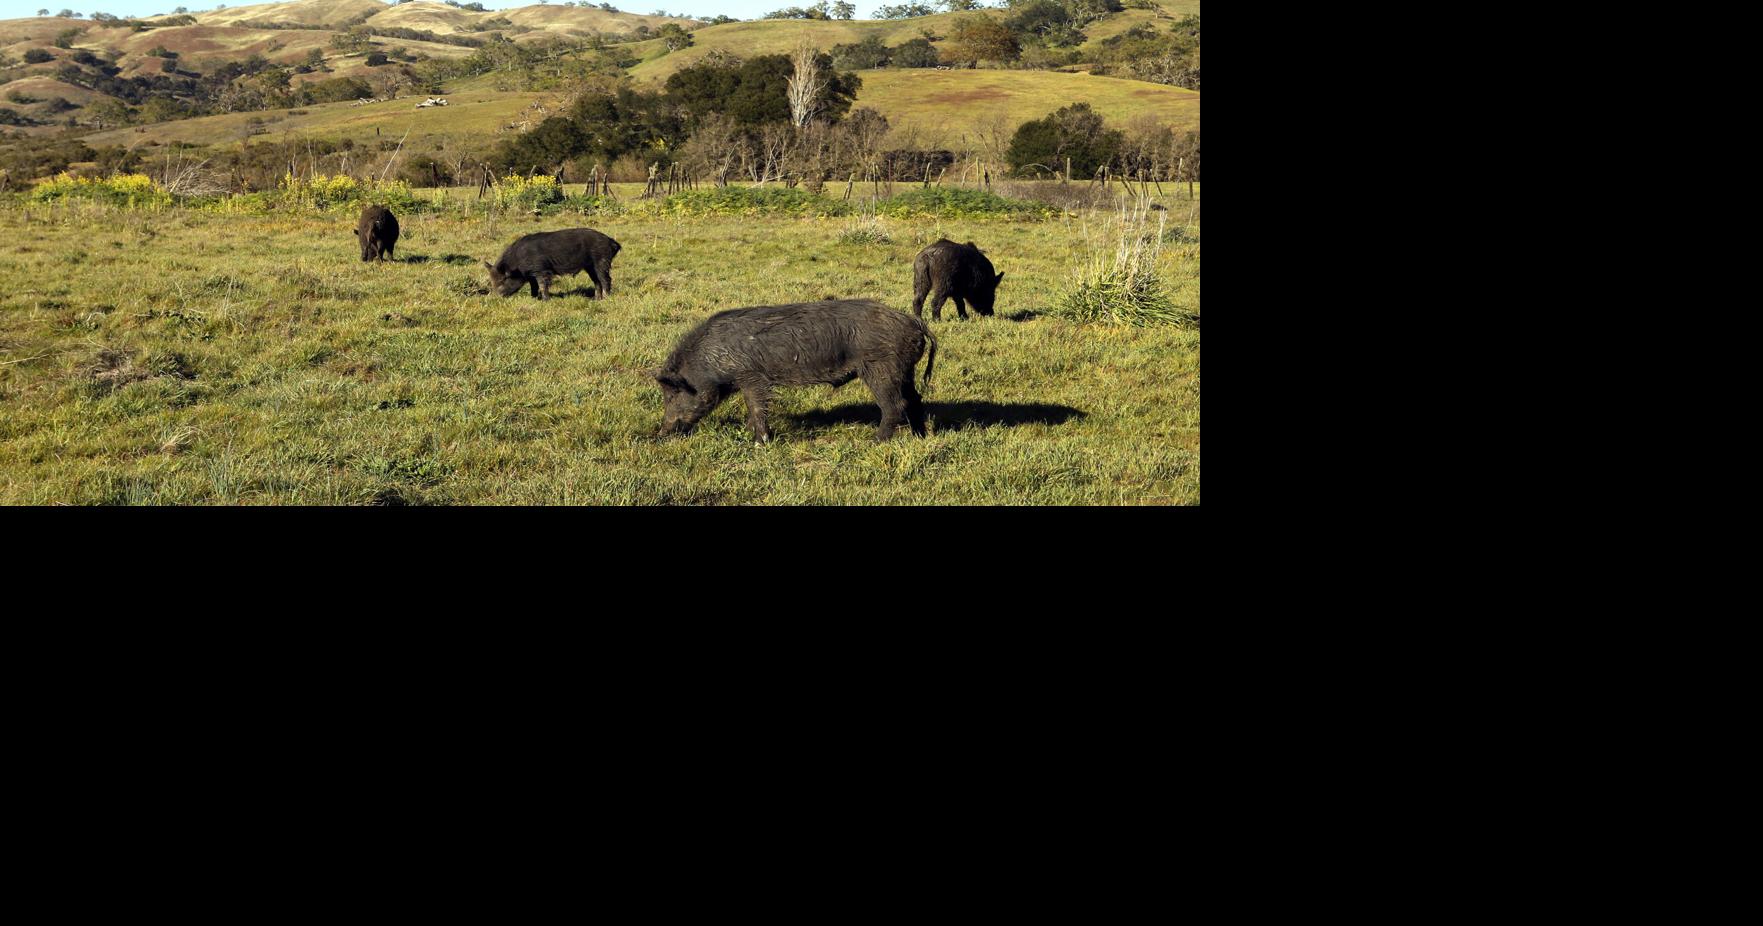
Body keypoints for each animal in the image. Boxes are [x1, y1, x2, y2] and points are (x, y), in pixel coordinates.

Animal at [484, 227, 620, 300]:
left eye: (503, 280)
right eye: (492, 281)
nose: (493, 297)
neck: (518, 263)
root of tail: (611, 242)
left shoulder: (541, 270)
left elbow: (542, 285)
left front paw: (545, 300)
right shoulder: (532, 275)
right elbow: (534, 286)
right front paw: (533, 298)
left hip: (601, 261)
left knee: (606, 279)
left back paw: (606, 298)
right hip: (590, 266)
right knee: (596, 281)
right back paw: (596, 299)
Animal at [655, 299, 937, 443]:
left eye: (672, 394)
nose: (661, 433)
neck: (711, 361)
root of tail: (914, 321)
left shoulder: (752, 377)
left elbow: (756, 407)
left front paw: (760, 442)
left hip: (881, 368)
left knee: (894, 405)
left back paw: (875, 441)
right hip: (906, 370)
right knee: (915, 399)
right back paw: (920, 437)